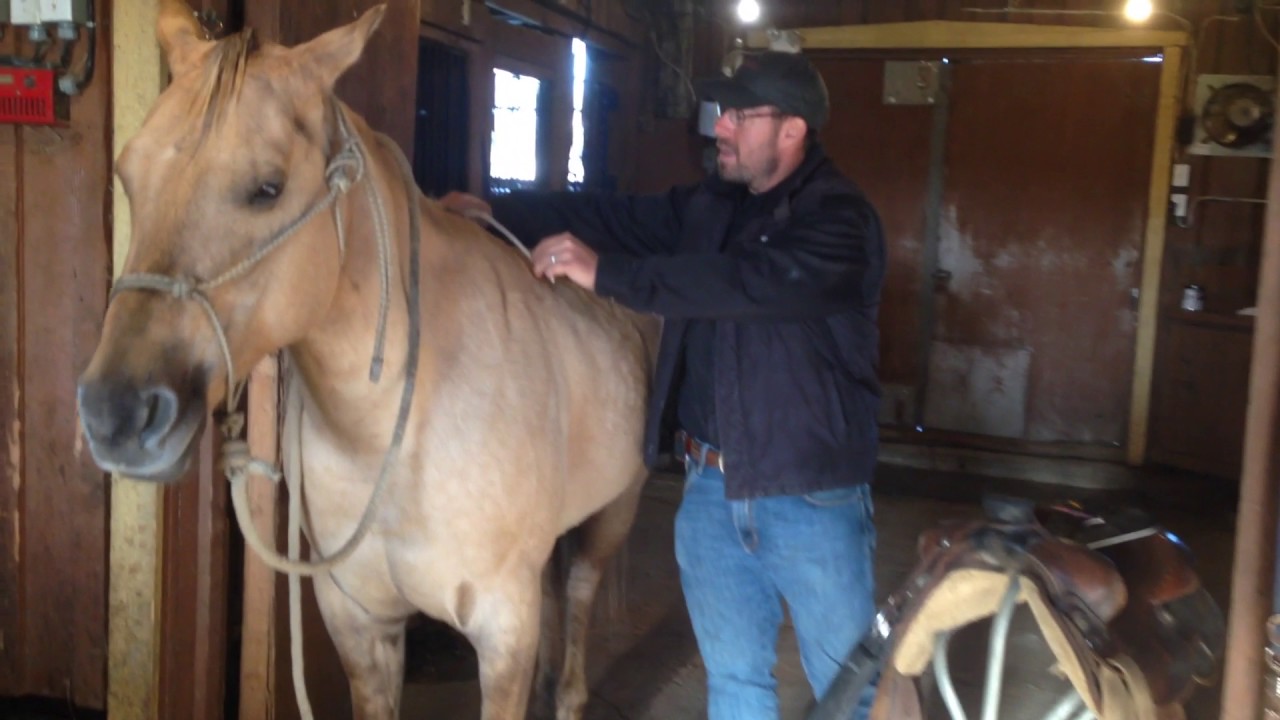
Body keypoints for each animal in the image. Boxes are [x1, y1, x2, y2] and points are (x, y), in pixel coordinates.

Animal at [75, 3, 659, 719]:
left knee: (574, 622)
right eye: (128, 176)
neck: (399, 429)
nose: (116, 415)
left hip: (609, 522)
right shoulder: (359, 622)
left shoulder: (505, 629)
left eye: (267, 187)